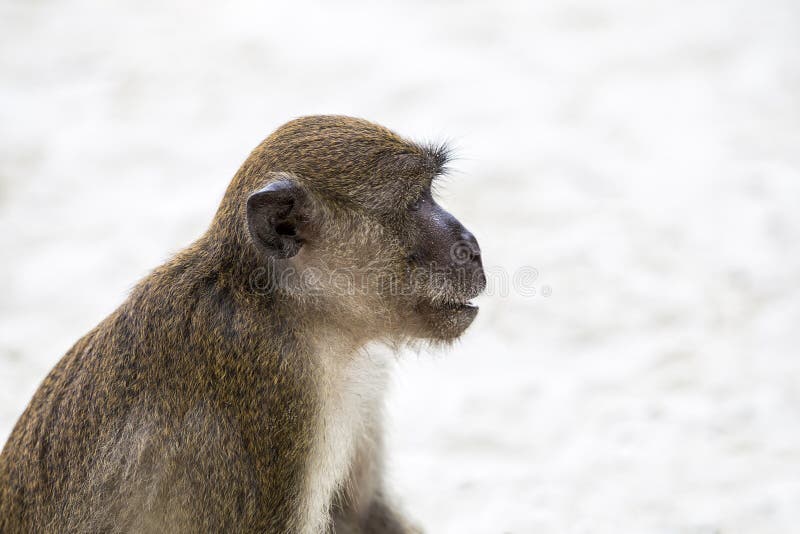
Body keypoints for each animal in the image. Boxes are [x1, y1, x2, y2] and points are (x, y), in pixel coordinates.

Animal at [0, 115, 486, 533]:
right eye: (415, 200)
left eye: (430, 192)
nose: (471, 245)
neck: (289, 310)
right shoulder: (273, 386)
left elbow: (359, 514)